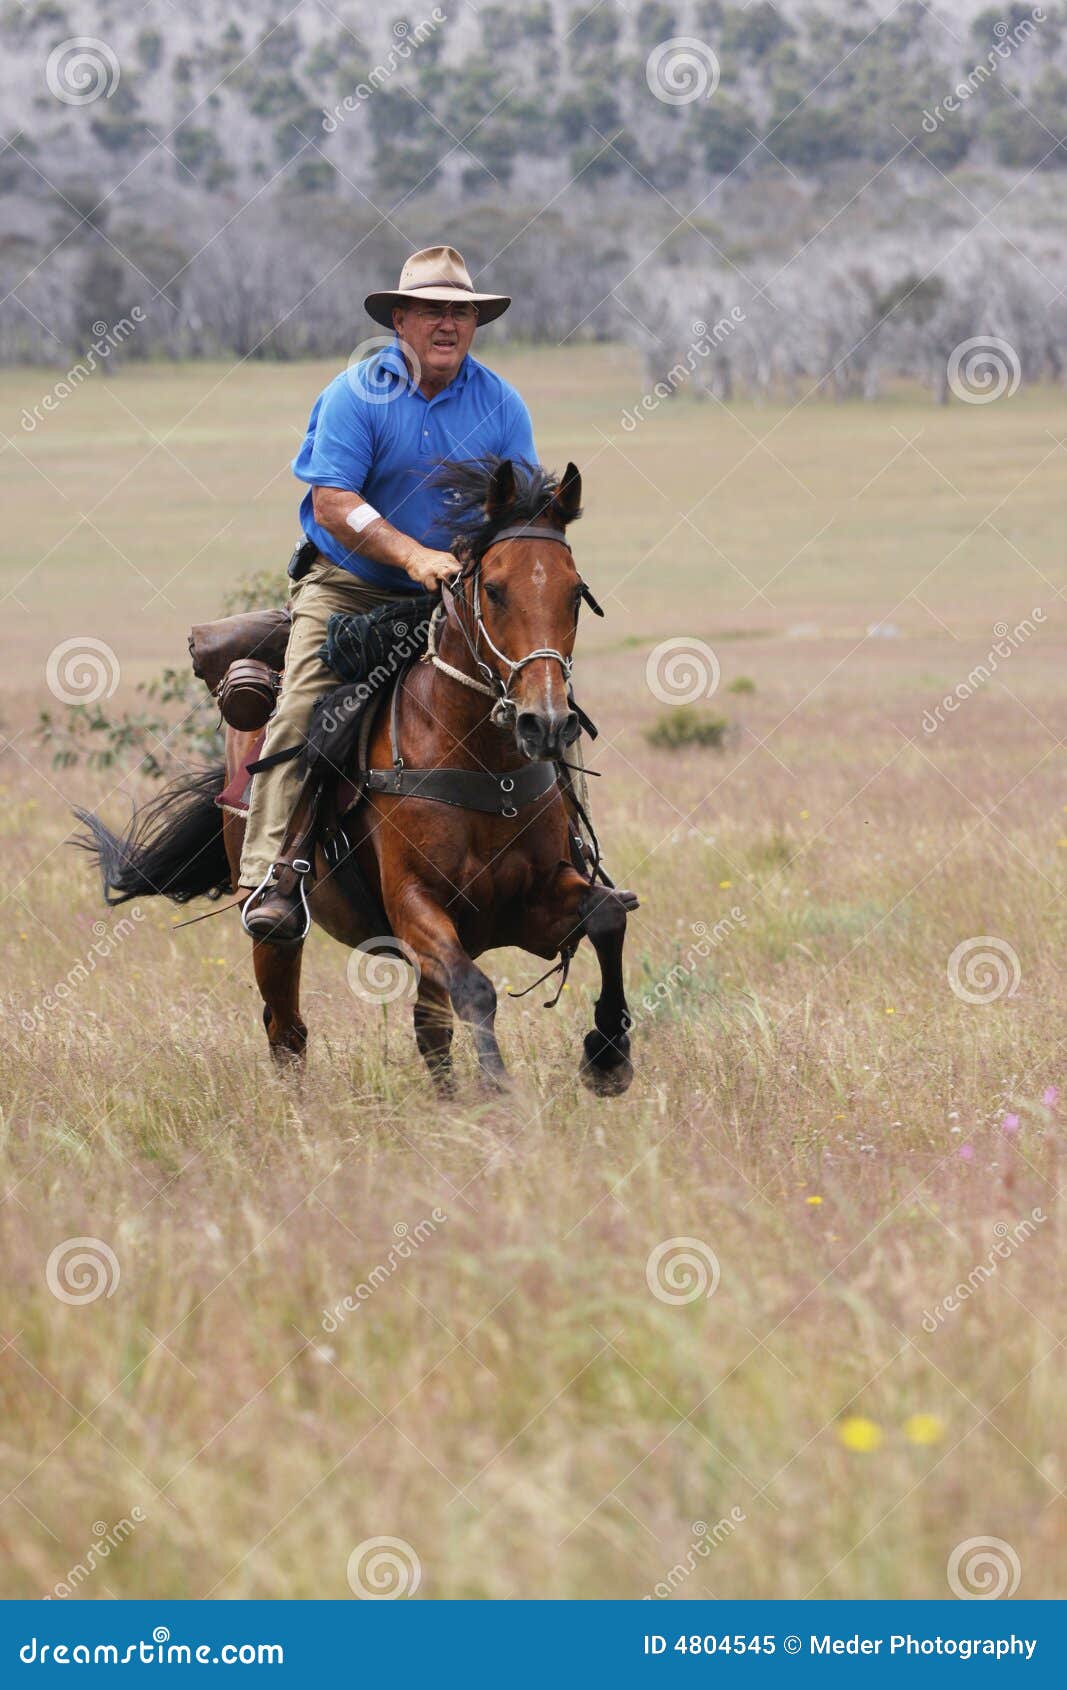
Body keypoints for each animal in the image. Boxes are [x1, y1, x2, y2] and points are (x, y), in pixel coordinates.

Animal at [73, 458, 634, 1096]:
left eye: (575, 594)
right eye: (494, 589)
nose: (546, 722)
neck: (483, 765)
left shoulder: (537, 900)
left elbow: (609, 916)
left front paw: (608, 1056)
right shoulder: (416, 907)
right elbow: (476, 989)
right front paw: (501, 1094)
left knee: (426, 1029)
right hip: (273, 928)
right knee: (286, 1026)